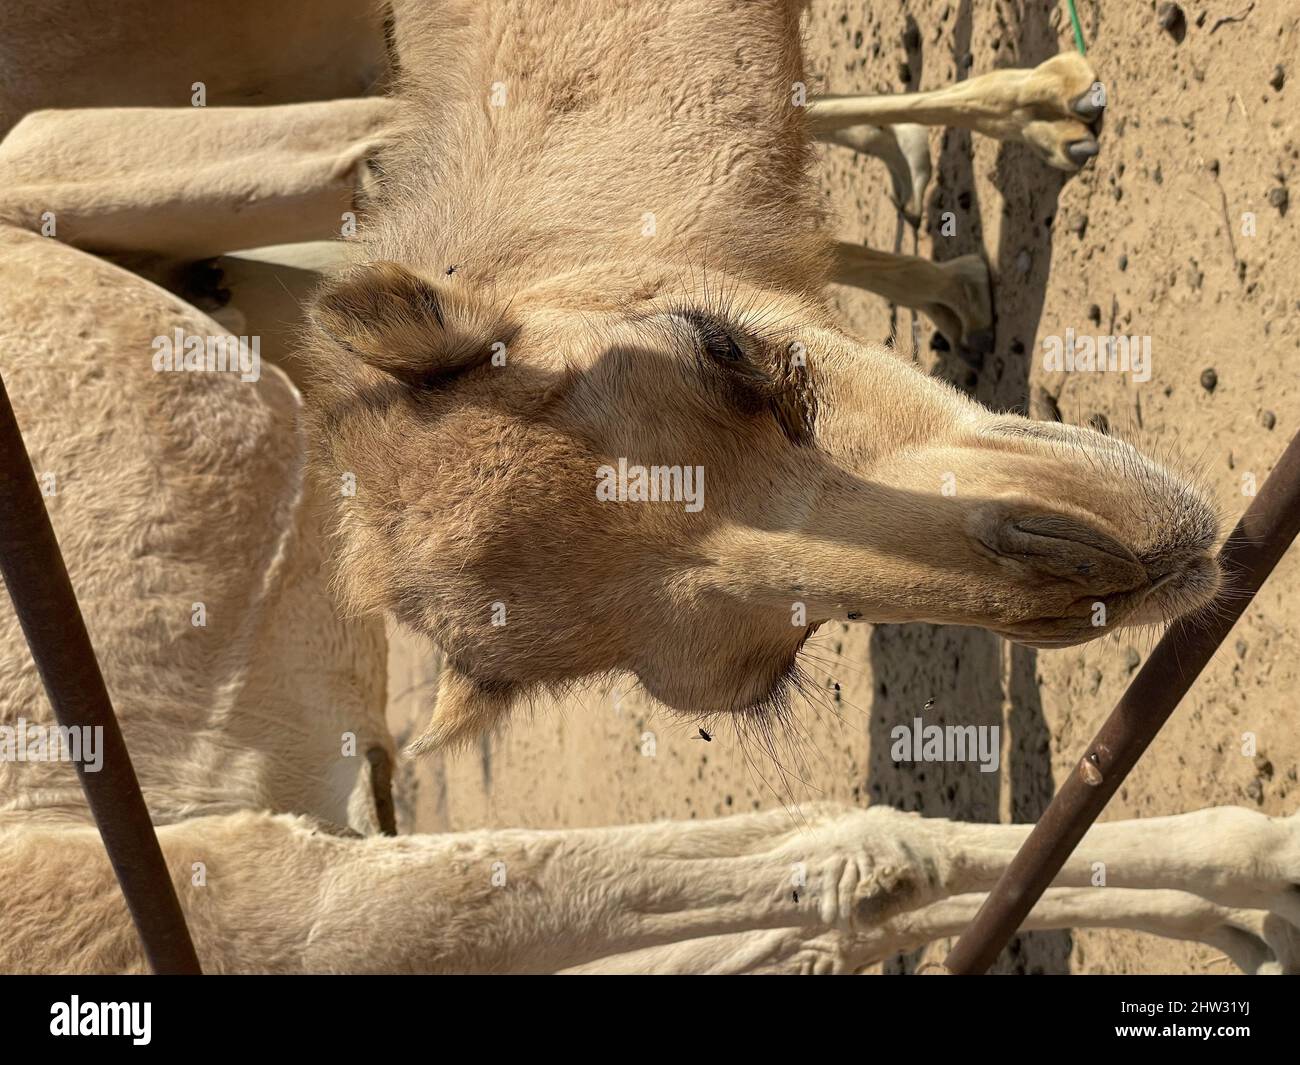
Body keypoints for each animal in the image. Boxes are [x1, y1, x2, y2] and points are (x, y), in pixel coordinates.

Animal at [0, 0, 1274, 975]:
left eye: (720, 347)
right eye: (760, 670)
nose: (1103, 565)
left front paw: (1037, 126)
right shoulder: (256, 899)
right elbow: (849, 872)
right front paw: (1267, 883)